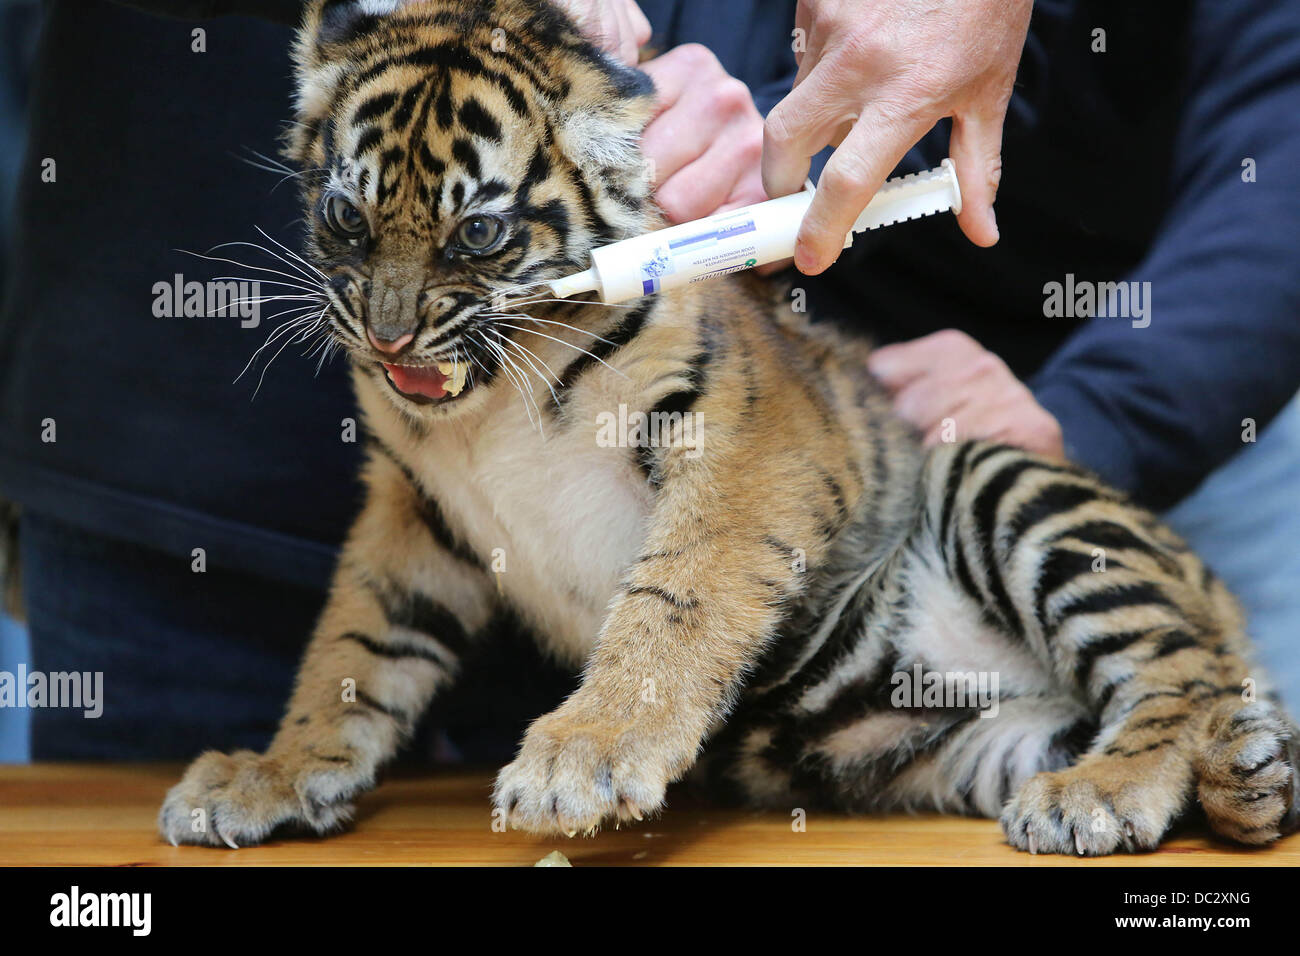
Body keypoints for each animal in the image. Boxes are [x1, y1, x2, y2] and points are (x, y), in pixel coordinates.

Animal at [159, 0, 1299, 856]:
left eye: (478, 233)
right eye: (346, 218)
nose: (388, 334)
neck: (489, 401)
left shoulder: (745, 444)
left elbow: (675, 600)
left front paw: (582, 755)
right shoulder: (417, 510)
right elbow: (352, 649)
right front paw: (270, 772)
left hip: (1006, 487)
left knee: (1179, 664)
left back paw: (1115, 787)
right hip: (957, 742)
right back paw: (1245, 775)